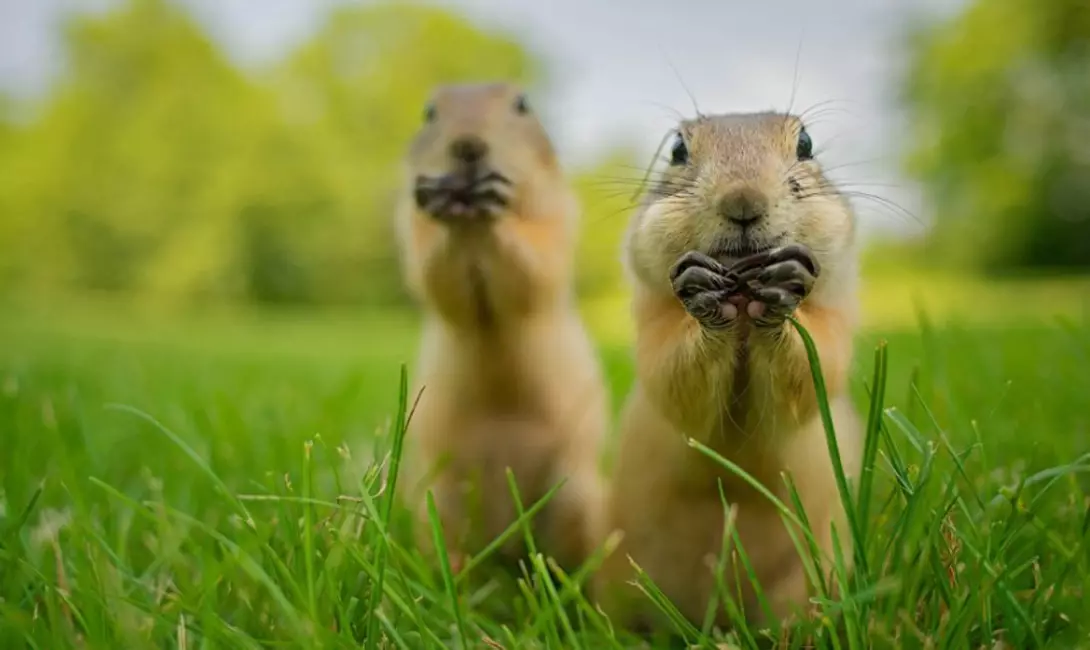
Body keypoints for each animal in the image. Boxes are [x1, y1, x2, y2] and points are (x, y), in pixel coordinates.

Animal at [394, 80, 614, 575]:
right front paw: (438, 198)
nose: (468, 145)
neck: (472, 226)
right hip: (437, 500)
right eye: (429, 112)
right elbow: (434, 273)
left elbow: (536, 264)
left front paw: (496, 205)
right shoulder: (412, 228)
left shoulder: (558, 216)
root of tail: (509, 545)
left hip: (577, 496)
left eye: (521, 105)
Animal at [592, 110, 863, 628]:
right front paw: (702, 291)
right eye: (677, 149)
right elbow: (672, 378)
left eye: (805, 143)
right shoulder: (653, 323)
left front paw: (784, 287)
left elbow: (814, 368)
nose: (743, 201)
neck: (742, 319)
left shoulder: (836, 316)